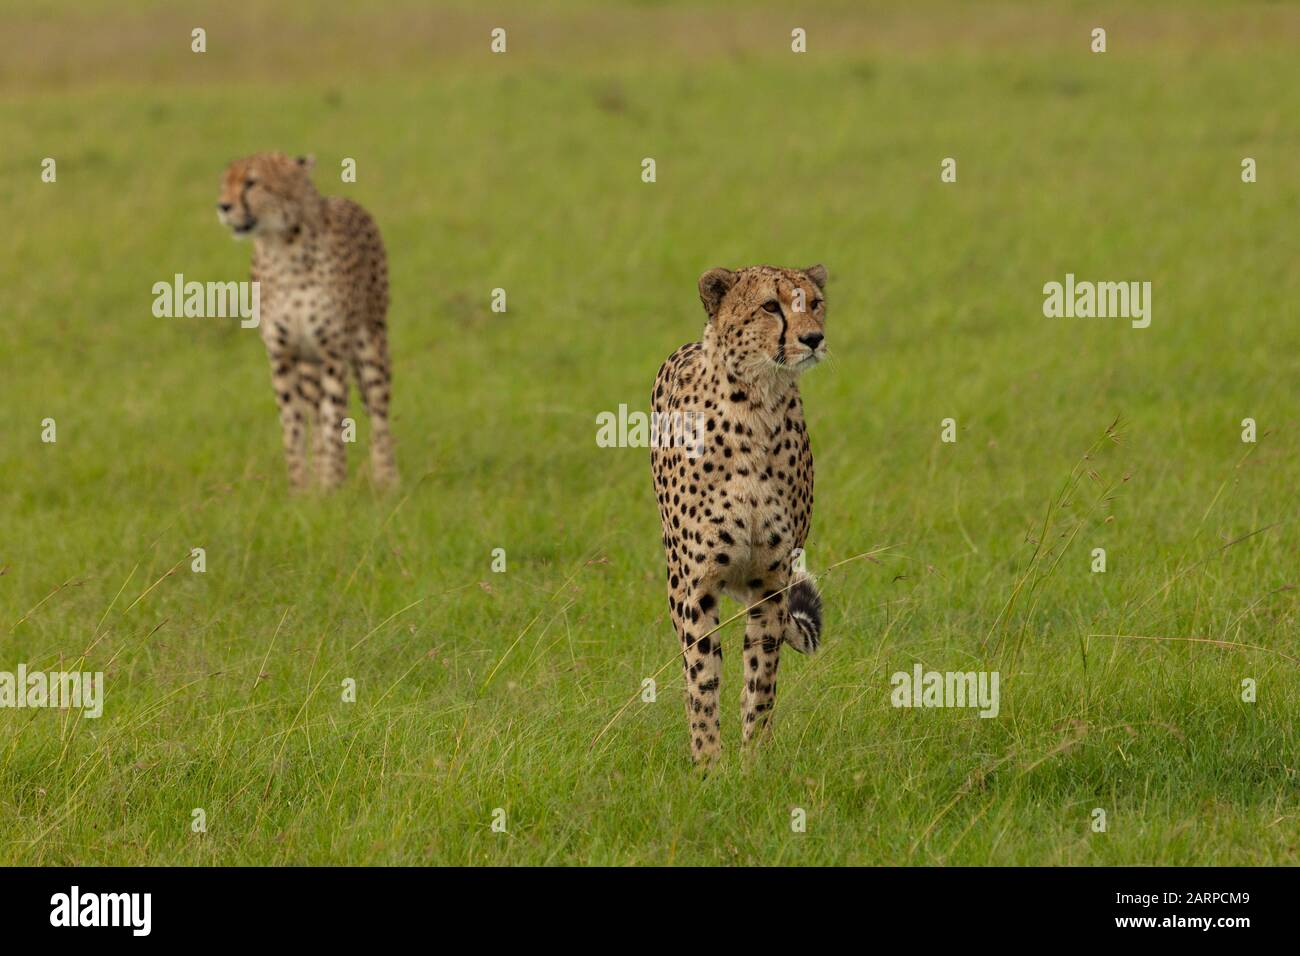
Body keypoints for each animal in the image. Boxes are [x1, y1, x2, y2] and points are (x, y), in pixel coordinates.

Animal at [216, 151, 397, 490]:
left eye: (251, 183)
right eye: (226, 183)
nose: (223, 206)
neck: (282, 246)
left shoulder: (332, 354)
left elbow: (334, 422)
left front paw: (333, 486)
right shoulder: (283, 356)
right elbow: (294, 427)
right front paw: (302, 489)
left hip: (370, 344)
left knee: (379, 414)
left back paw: (387, 482)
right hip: (308, 367)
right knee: (315, 412)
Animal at [650, 263, 828, 764]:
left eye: (814, 302)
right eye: (770, 306)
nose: (813, 338)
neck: (755, 405)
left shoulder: (771, 582)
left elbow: (761, 677)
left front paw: (754, 763)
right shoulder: (696, 585)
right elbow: (703, 677)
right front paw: (709, 764)